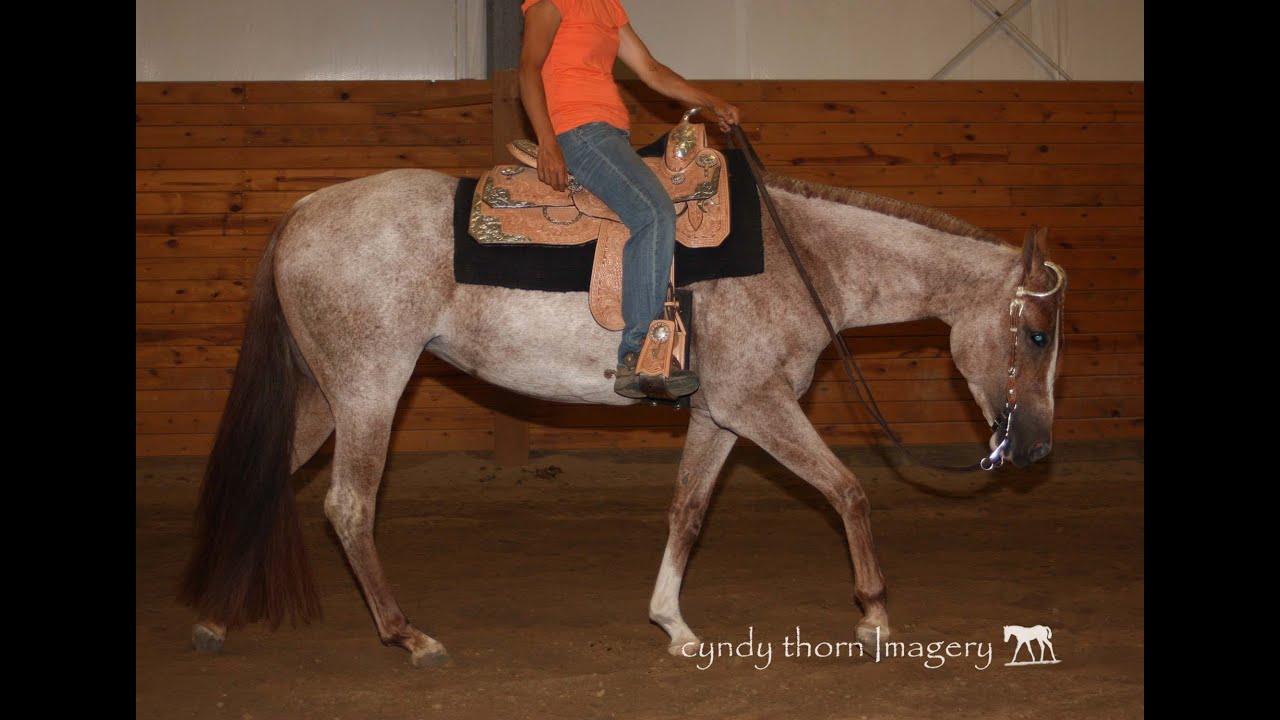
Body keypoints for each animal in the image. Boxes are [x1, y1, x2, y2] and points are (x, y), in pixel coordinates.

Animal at [177, 165, 1066, 667]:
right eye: (1035, 333)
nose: (1033, 446)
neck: (804, 261)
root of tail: (303, 210)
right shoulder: (759, 403)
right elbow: (849, 491)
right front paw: (876, 617)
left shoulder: (720, 415)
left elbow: (688, 511)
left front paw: (673, 625)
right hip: (368, 390)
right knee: (348, 507)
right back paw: (408, 636)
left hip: (322, 396)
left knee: (265, 480)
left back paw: (216, 617)